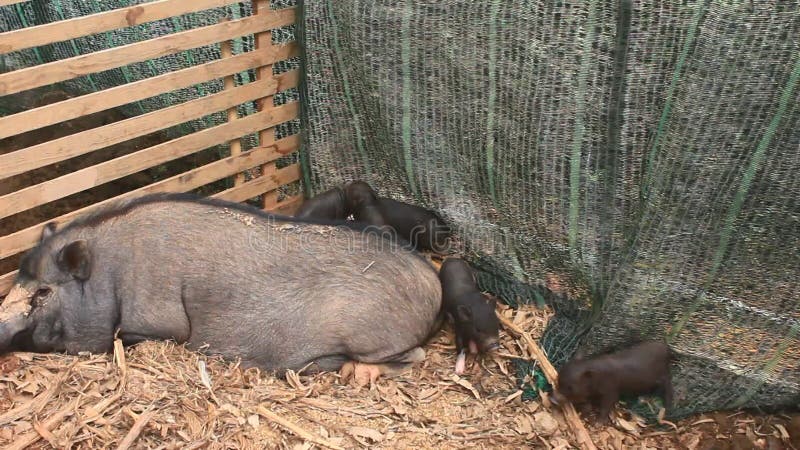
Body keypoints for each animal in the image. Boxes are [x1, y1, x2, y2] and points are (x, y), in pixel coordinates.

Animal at [0, 193, 442, 382]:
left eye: (43, 293)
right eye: (17, 283)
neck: (112, 274)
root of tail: (433, 284)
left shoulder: (163, 322)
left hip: (372, 335)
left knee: (415, 355)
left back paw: (351, 371)